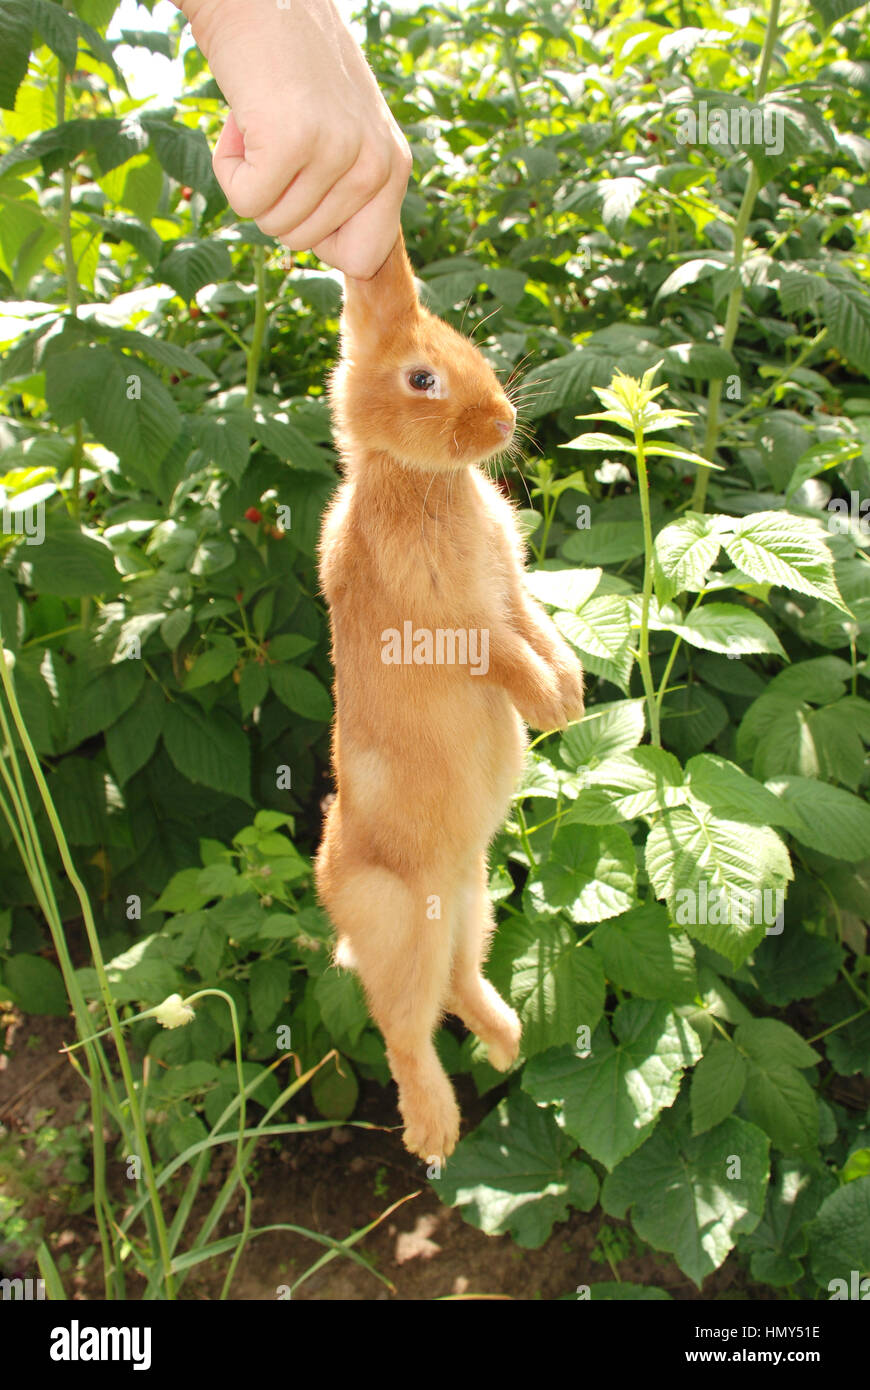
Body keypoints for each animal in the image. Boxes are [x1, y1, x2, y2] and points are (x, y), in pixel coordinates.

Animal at [314, 231, 584, 1163]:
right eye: (422, 377)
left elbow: (540, 630)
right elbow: (504, 658)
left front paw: (572, 695)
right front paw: (550, 708)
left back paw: (508, 1044)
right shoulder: (455, 625)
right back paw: (435, 1130)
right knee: (403, 1028)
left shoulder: (512, 592)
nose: (501, 422)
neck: (424, 480)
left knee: (463, 990)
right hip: (408, 928)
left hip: (475, 909)